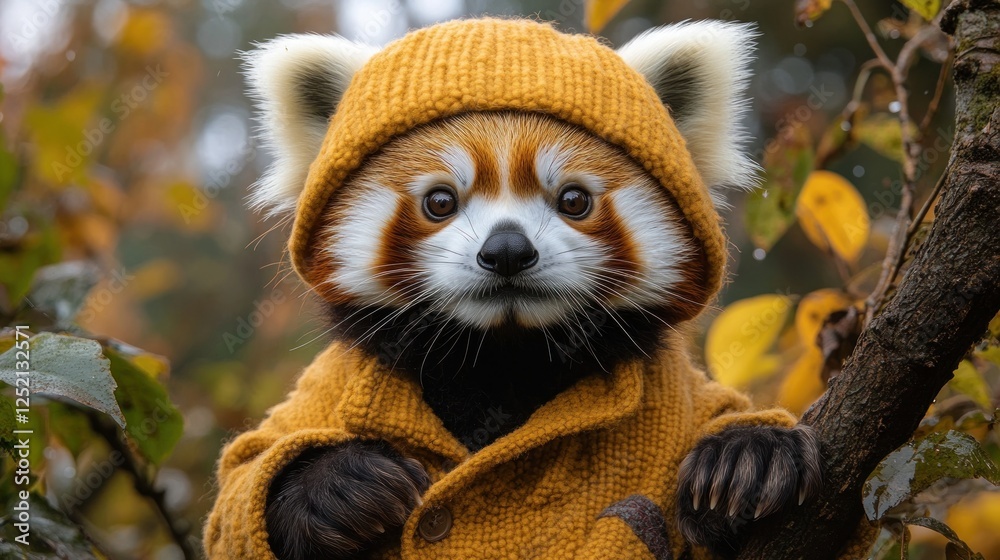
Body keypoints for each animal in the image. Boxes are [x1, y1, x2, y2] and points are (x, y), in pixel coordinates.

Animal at [204, 18, 832, 560]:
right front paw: (339, 487)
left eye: (575, 199)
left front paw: (746, 457)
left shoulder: (671, 396)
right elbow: (241, 486)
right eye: (439, 201)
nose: (506, 250)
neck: (502, 358)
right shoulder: (330, 387)